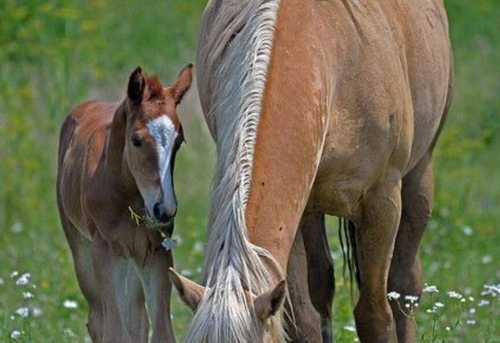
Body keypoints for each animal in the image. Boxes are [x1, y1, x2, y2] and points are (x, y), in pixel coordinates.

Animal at [56, 65, 192, 343]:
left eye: (179, 141)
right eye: (136, 140)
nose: (164, 210)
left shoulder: (156, 251)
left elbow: (160, 331)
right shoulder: (105, 251)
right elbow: (114, 329)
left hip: (132, 257)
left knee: (136, 319)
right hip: (83, 246)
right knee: (98, 319)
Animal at [171, 0, 454, 342]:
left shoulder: (382, 203)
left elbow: (376, 314)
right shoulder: (295, 210)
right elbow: (303, 320)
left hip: (419, 173)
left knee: (404, 287)